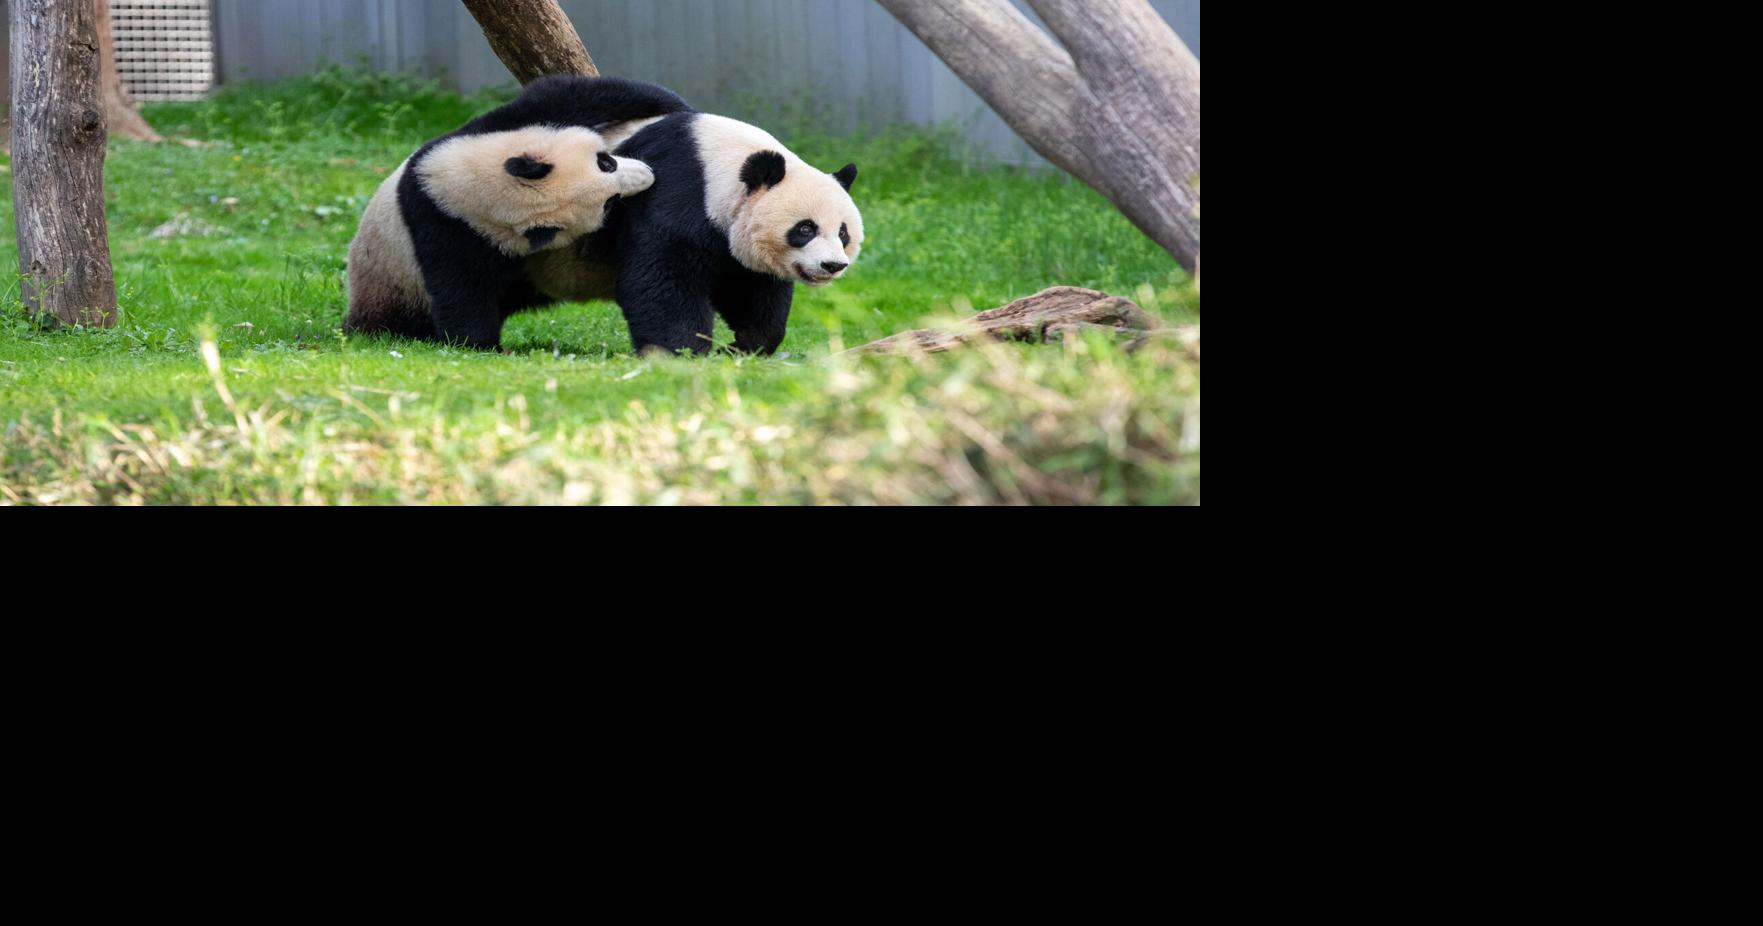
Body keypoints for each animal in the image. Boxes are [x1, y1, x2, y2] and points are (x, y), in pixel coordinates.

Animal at [344, 76, 691, 349]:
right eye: (608, 202)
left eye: (605, 161)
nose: (647, 175)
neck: (461, 182)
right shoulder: (443, 227)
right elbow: (460, 289)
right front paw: (481, 345)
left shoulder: (487, 130)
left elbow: (570, 94)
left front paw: (674, 104)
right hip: (392, 284)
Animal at [525, 111, 865, 356]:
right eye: (805, 228)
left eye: (843, 233)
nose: (832, 265)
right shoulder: (673, 192)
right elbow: (663, 278)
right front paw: (684, 350)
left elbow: (752, 289)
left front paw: (741, 347)